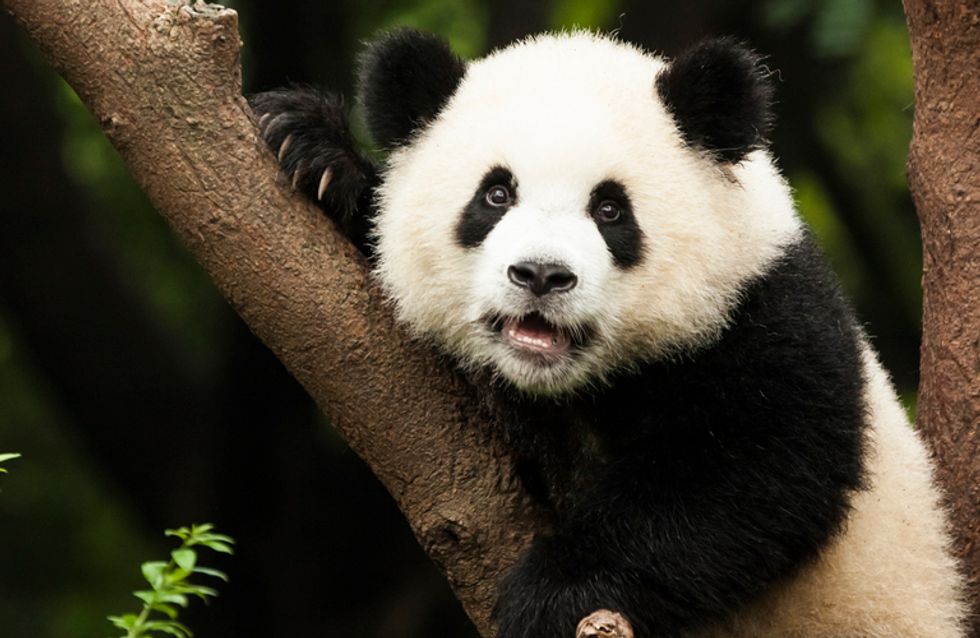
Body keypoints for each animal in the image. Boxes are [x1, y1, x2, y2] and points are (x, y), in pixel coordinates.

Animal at [251, 30, 967, 638]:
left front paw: (551, 594)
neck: (570, 386)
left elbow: (756, 474)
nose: (541, 274)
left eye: (610, 209)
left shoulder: (766, 312)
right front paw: (313, 152)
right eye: (495, 195)